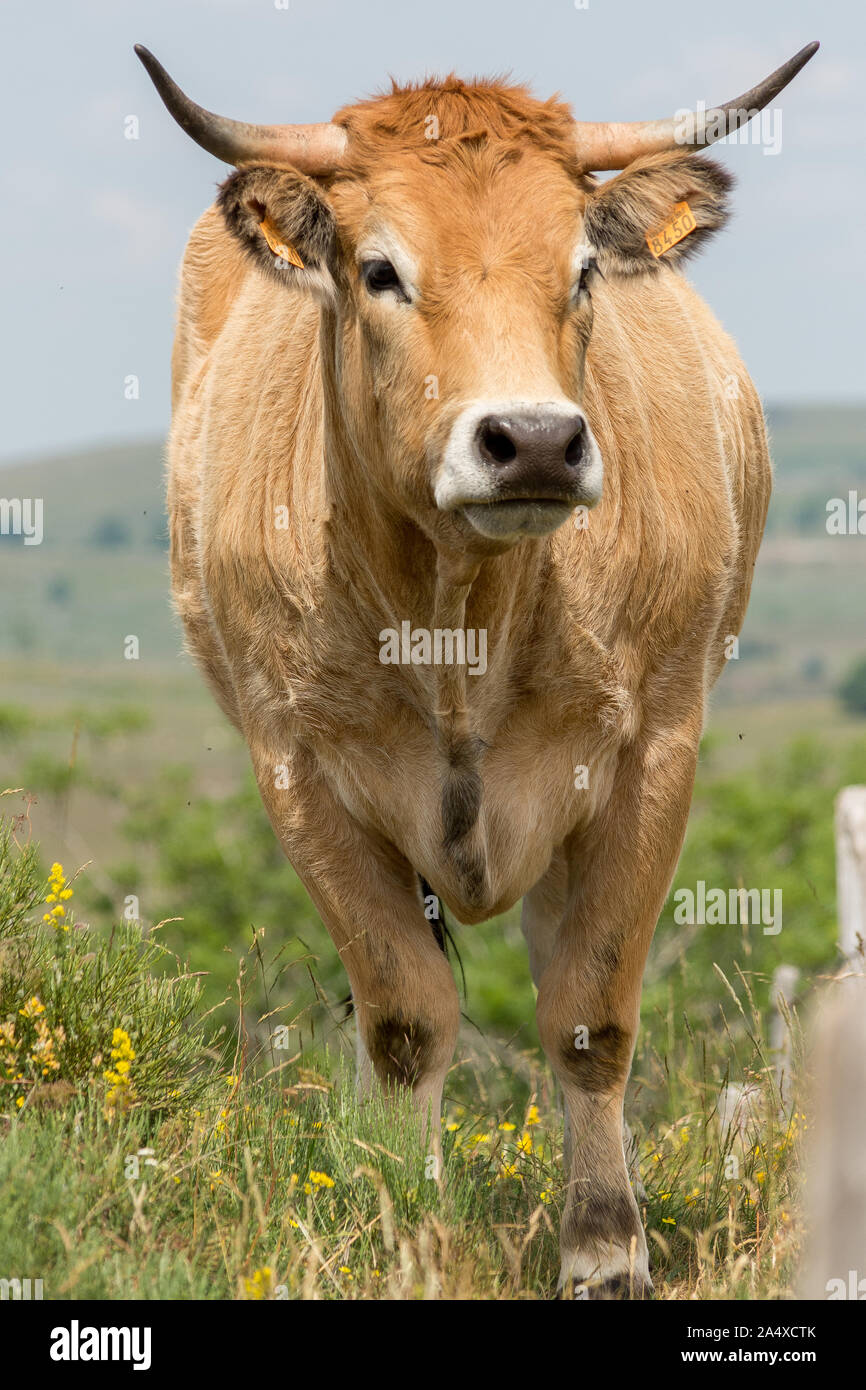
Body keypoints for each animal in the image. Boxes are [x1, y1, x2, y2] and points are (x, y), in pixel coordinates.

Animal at [137, 40, 817, 1297]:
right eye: (380, 270)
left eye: (583, 269)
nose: (534, 441)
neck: (460, 612)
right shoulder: (297, 769)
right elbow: (405, 1017)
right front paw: (401, 1220)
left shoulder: (651, 754)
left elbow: (588, 1014)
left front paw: (602, 1246)